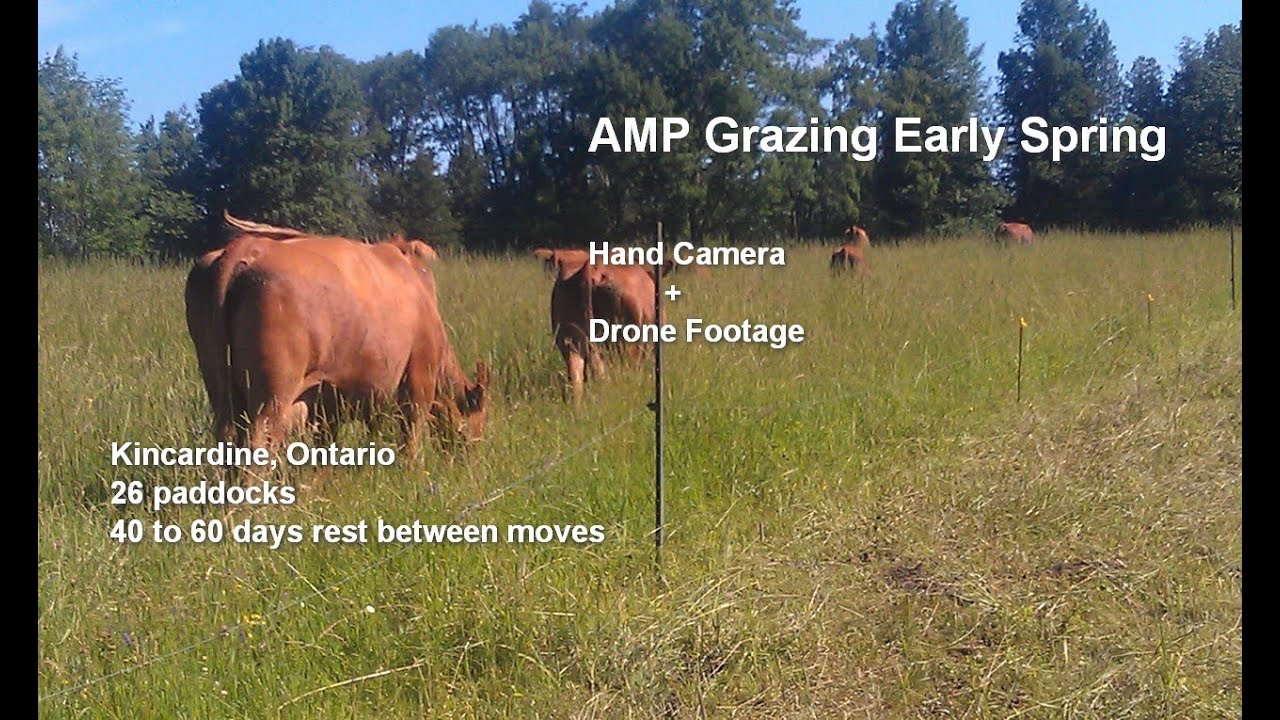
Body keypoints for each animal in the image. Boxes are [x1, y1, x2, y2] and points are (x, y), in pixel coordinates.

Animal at [184, 214, 487, 466]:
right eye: (477, 420)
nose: (472, 457)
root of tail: (247, 247)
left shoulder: (331, 400)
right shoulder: (418, 381)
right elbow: (409, 439)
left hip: (220, 388)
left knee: (226, 437)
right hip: (272, 394)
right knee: (259, 442)